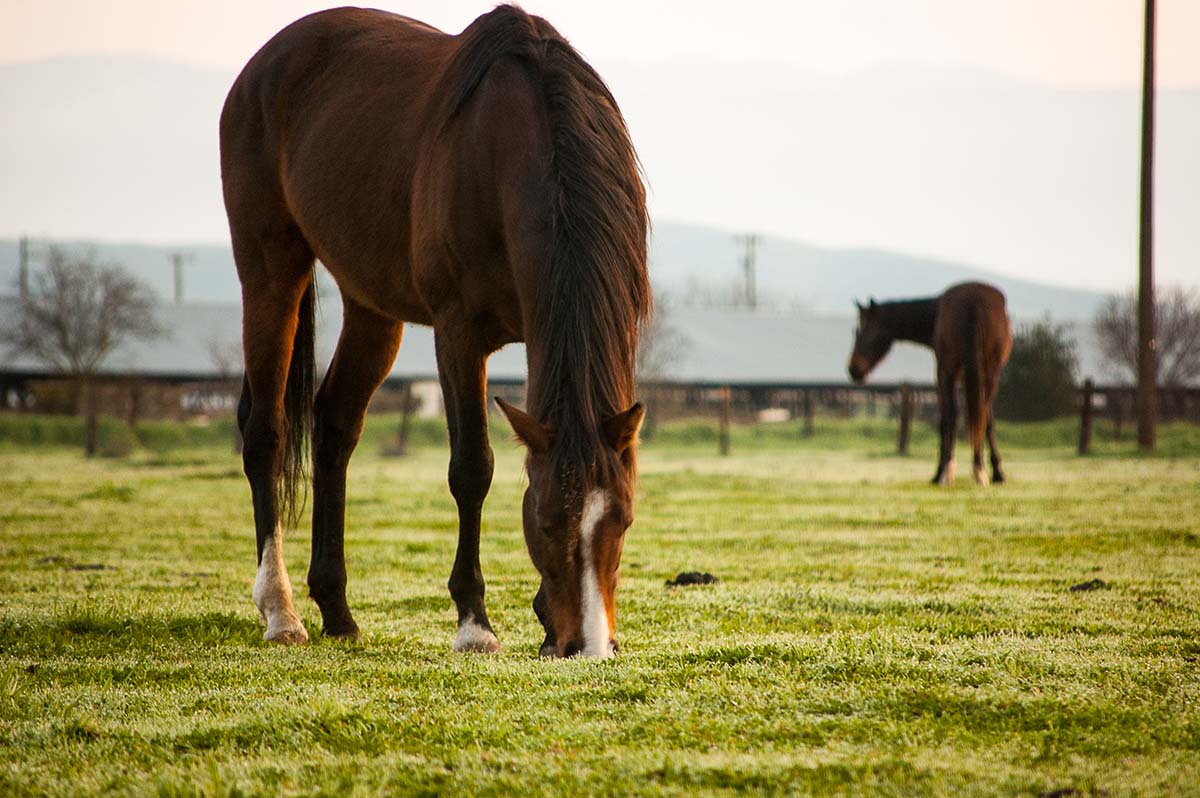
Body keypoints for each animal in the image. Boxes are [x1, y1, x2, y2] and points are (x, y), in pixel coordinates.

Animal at [220, 5, 650, 659]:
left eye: (622, 520)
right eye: (546, 520)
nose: (588, 646)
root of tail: (259, 68)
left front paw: (541, 618)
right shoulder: (458, 334)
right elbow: (472, 469)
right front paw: (475, 622)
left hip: (372, 306)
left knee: (335, 424)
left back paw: (337, 609)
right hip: (271, 268)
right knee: (265, 432)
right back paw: (281, 611)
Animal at [847, 282, 1012, 486]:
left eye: (864, 332)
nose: (853, 369)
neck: (934, 313)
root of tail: (973, 303)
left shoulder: (942, 372)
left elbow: (945, 419)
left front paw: (940, 470)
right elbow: (986, 419)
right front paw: (997, 472)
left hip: (949, 370)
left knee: (952, 414)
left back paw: (947, 472)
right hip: (986, 371)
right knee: (977, 414)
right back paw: (977, 469)